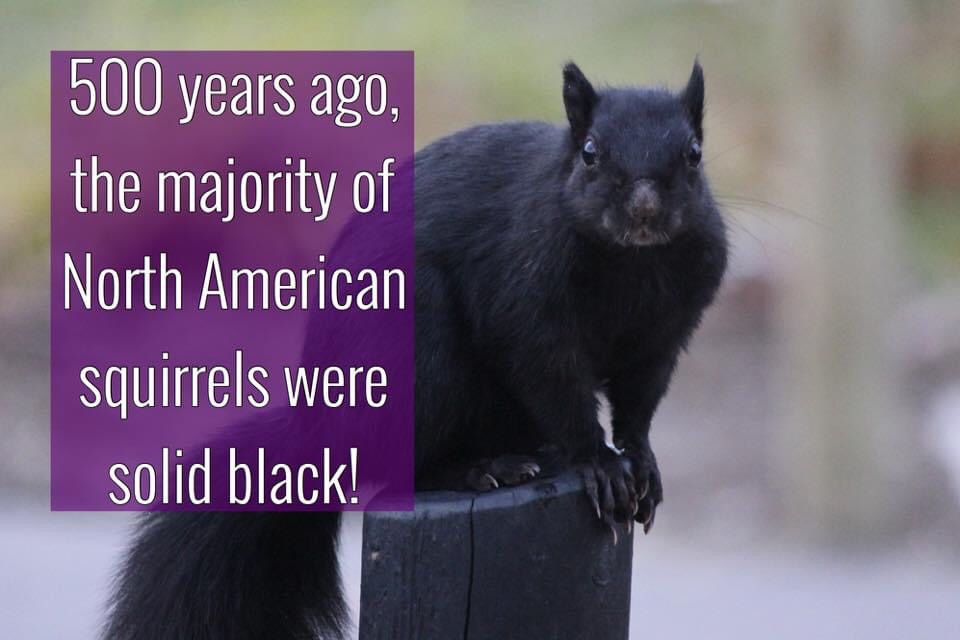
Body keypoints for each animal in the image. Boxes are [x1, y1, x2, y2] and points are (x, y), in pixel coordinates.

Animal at [105, 61, 728, 640]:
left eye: (694, 154)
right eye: (591, 153)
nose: (644, 209)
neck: (633, 262)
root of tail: (322, 434)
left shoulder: (665, 334)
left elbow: (639, 403)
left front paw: (640, 460)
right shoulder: (527, 305)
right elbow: (555, 382)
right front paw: (598, 463)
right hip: (417, 357)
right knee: (401, 471)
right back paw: (483, 469)